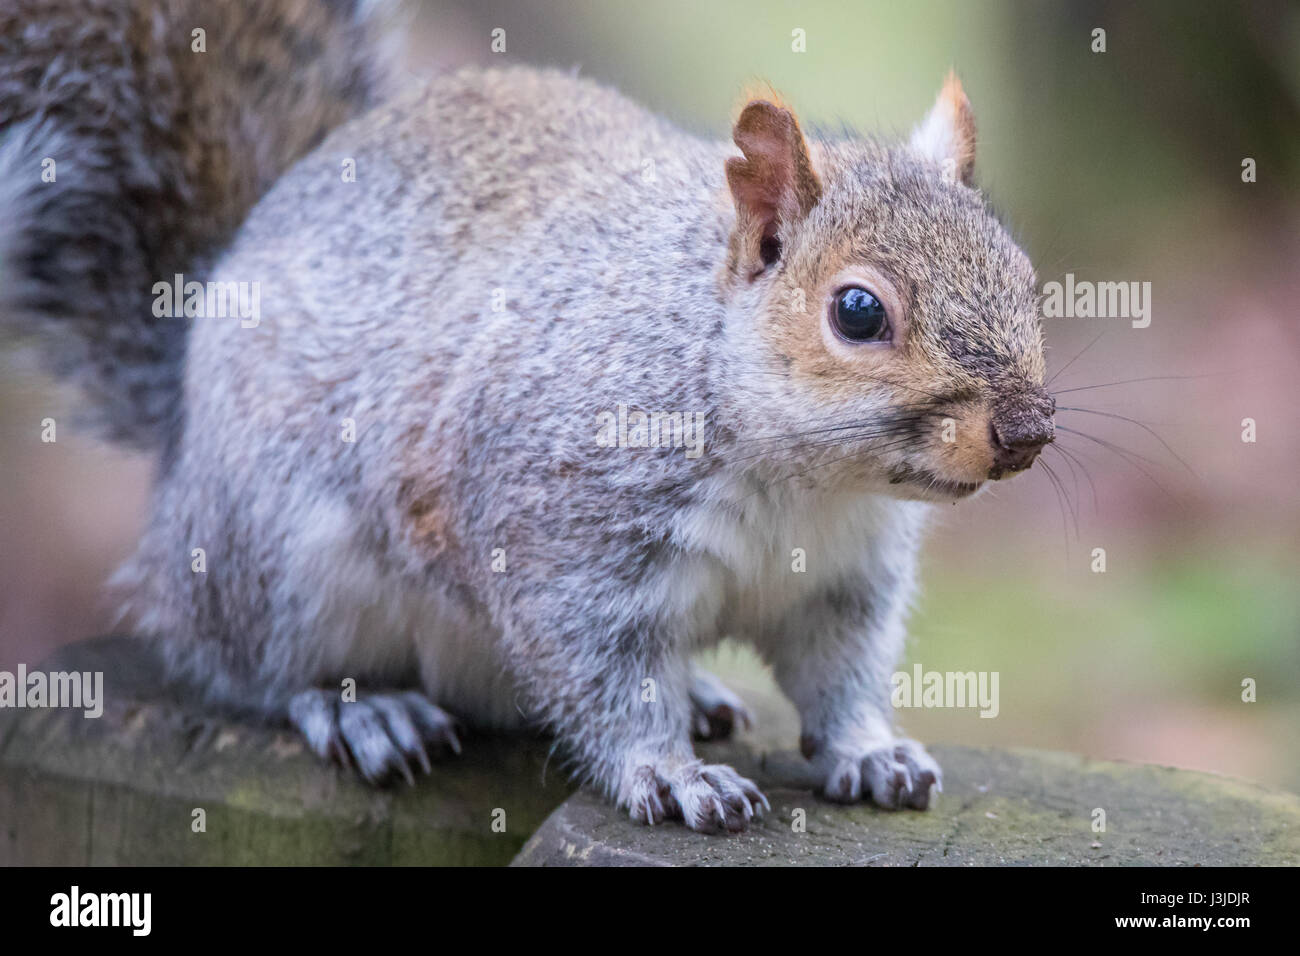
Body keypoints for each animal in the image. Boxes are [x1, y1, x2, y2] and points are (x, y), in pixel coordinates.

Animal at [2, 1, 1055, 833]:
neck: (807, 483)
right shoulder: (563, 539)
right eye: (858, 311)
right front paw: (673, 776)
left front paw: (871, 751)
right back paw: (360, 708)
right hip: (275, 559)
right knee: (252, 666)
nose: (1028, 432)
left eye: (1022, 271)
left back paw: (703, 691)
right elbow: (604, 678)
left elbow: (840, 677)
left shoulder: (845, 579)